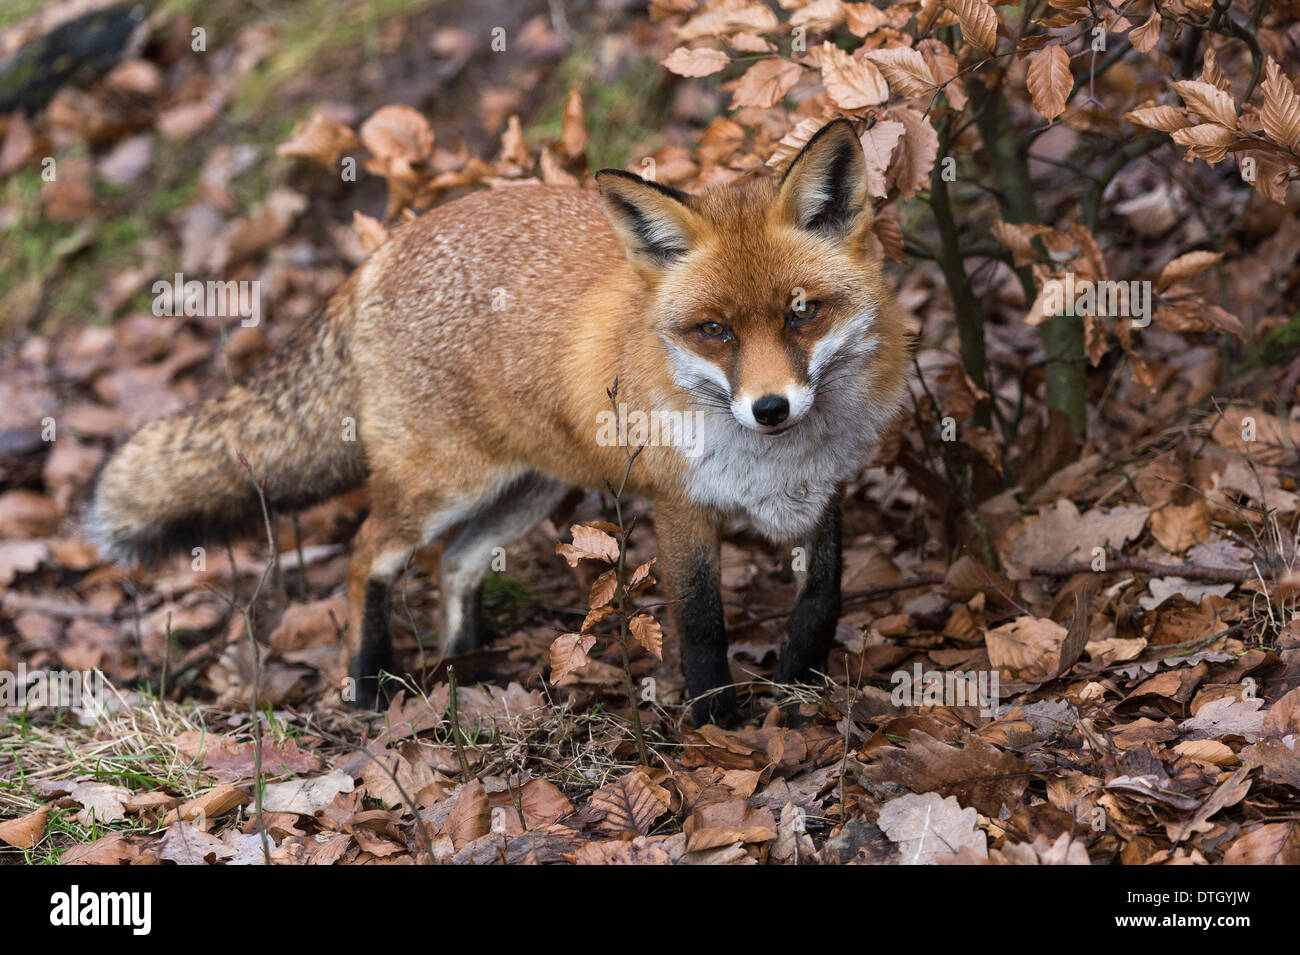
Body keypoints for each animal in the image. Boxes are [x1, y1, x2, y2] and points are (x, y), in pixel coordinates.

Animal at [87, 119, 910, 724]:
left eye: (802, 312)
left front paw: (799, 687)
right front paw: (717, 726)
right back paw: (368, 682)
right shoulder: (682, 506)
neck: (771, 459)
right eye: (715, 331)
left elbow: (822, 598)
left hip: (529, 489)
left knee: (454, 562)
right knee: (365, 555)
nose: (770, 408)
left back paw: (465, 663)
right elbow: (702, 628)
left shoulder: (822, 491)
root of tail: (380, 255)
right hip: (443, 485)